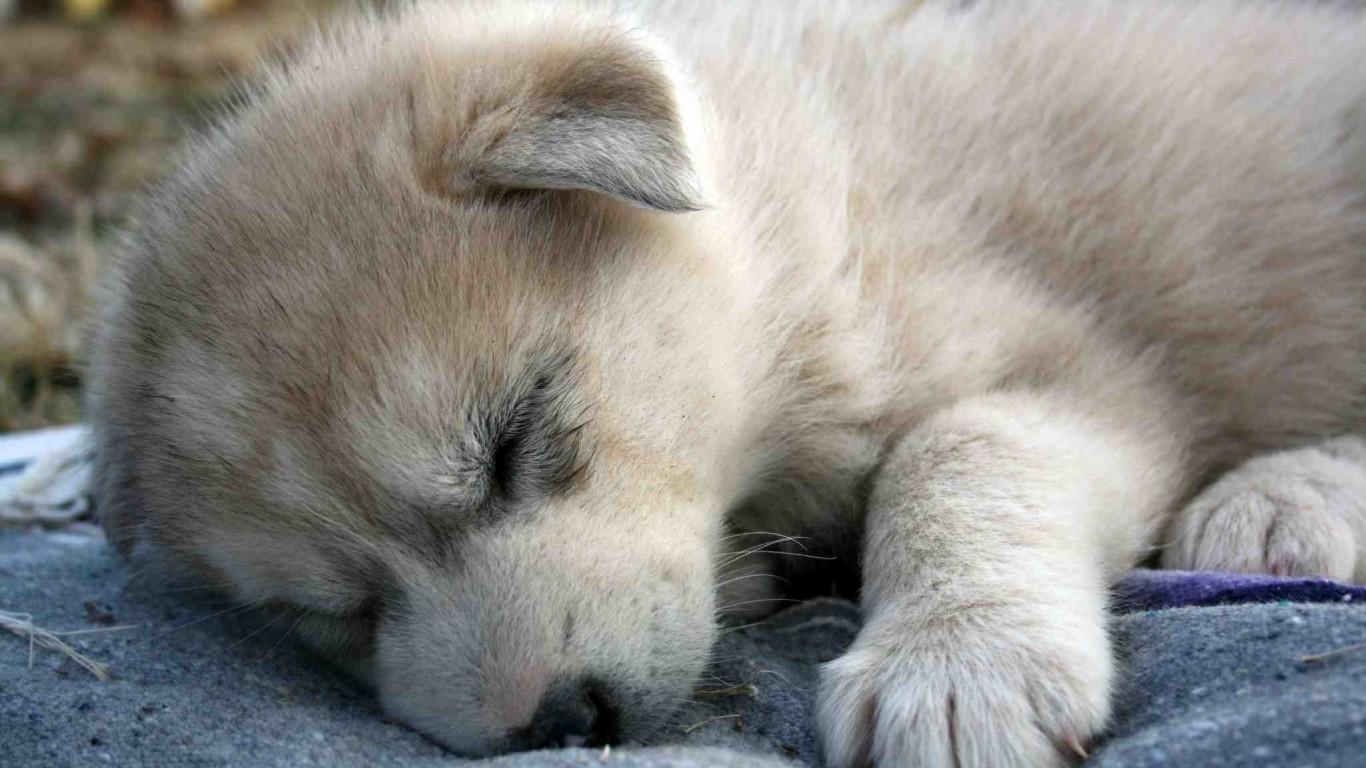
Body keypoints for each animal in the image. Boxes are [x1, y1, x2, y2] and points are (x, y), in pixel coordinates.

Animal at [86, 0, 1366, 765]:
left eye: (513, 443)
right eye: (335, 608)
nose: (562, 721)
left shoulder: (1072, 372)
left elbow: (959, 455)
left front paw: (955, 667)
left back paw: (1284, 501)